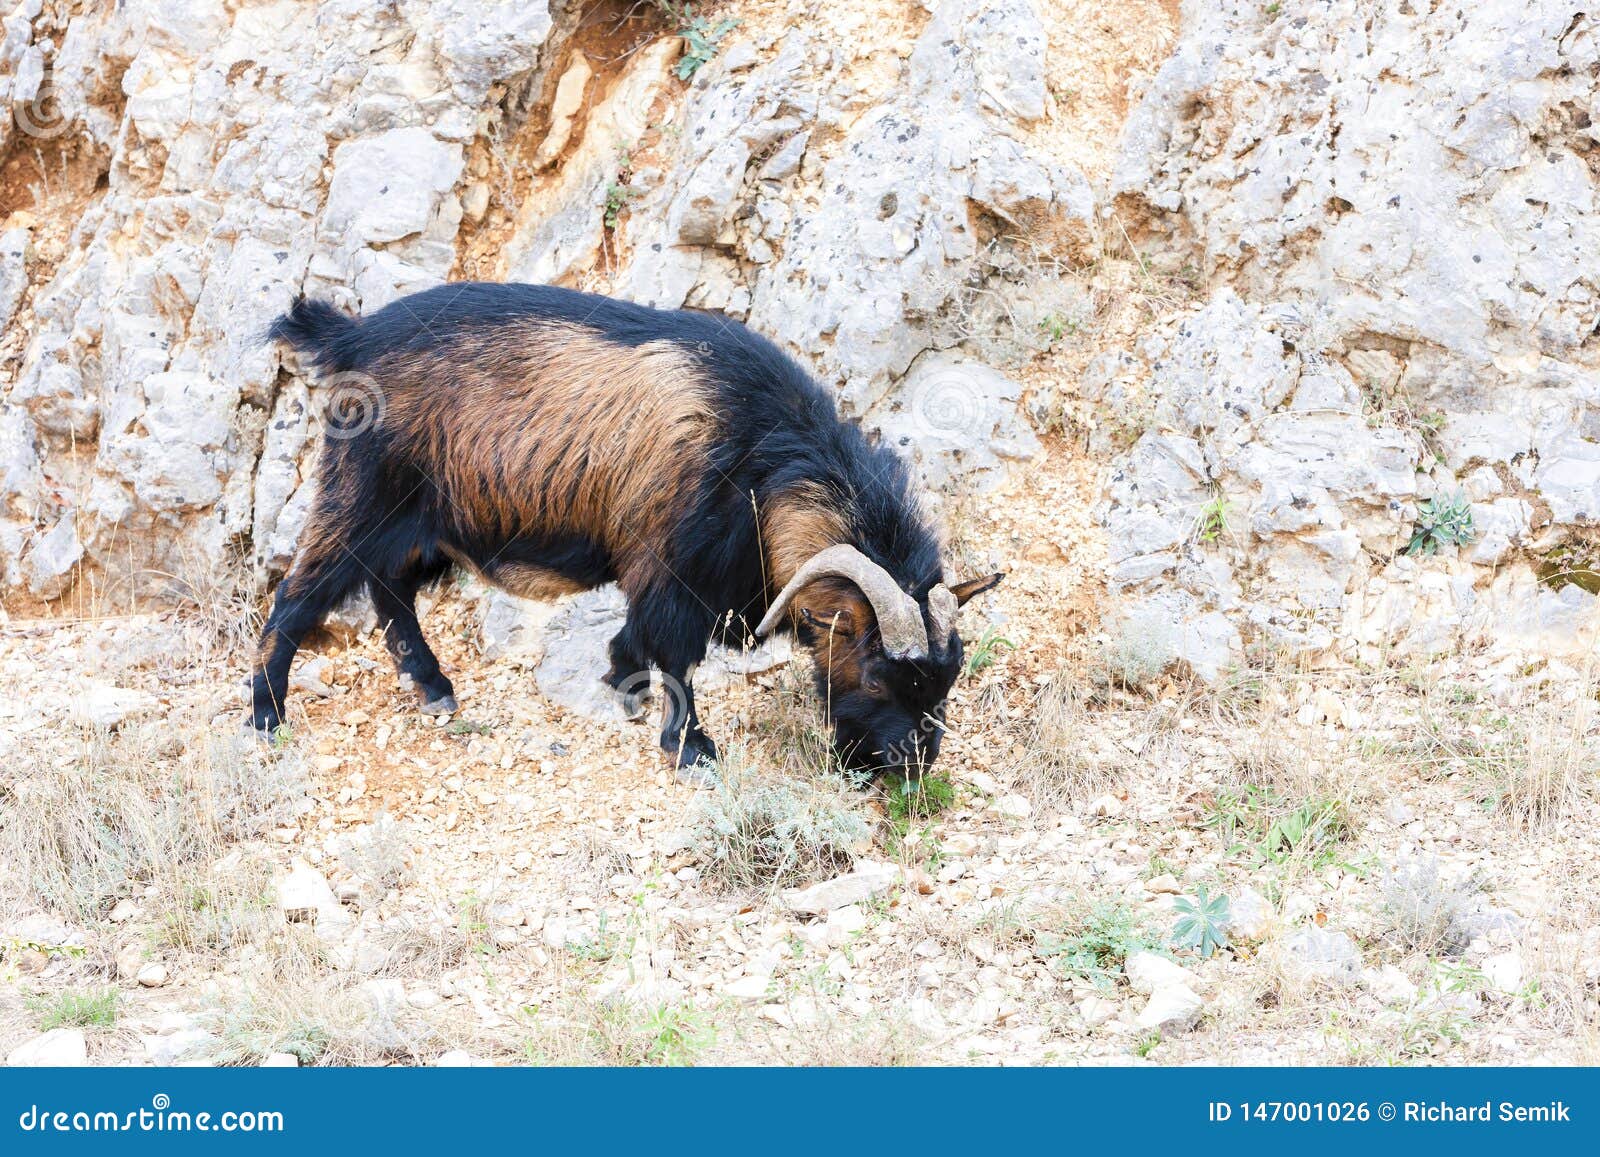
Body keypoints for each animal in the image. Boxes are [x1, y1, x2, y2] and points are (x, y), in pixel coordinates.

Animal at [252, 283, 1003, 776]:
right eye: (877, 677)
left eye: (946, 682)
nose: (913, 762)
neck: (765, 454)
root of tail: (351, 336)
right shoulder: (672, 567)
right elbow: (674, 653)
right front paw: (690, 746)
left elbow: (638, 641)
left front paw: (621, 679)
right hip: (364, 498)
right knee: (299, 595)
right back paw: (265, 717)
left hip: (427, 526)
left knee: (391, 589)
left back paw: (432, 686)